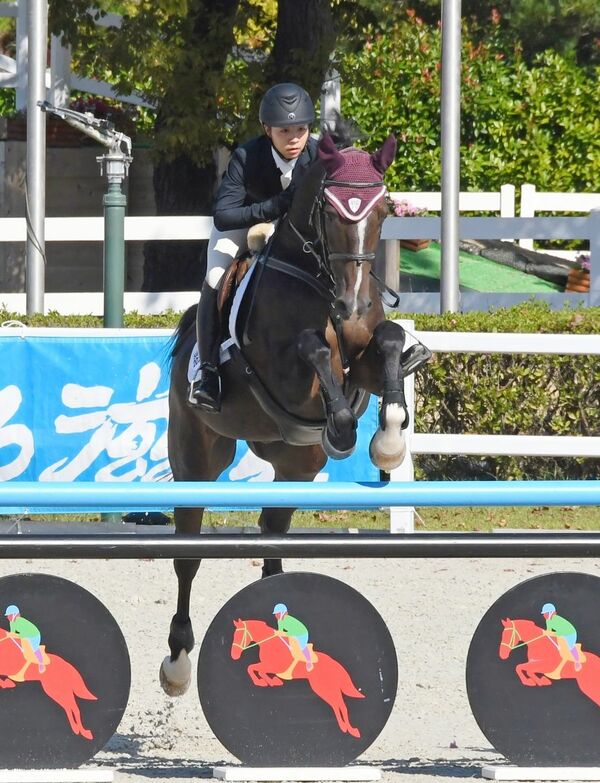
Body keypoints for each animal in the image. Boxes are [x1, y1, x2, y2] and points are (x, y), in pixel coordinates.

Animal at [162, 116, 431, 696]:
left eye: (383, 210)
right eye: (328, 213)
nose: (351, 306)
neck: (321, 280)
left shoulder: (365, 354)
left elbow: (390, 341)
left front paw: (389, 442)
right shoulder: (289, 374)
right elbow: (313, 350)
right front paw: (346, 428)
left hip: (294, 463)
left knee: (271, 538)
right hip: (197, 457)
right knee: (188, 555)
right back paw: (177, 662)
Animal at [230, 618, 363, 738]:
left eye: (239, 635)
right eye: (234, 635)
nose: (234, 656)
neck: (270, 643)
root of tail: (334, 663)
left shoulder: (273, 667)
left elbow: (253, 668)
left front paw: (262, 681)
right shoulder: (267, 666)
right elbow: (253, 668)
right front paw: (271, 681)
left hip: (324, 689)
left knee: (340, 706)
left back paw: (349, 729)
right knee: (339, 705)